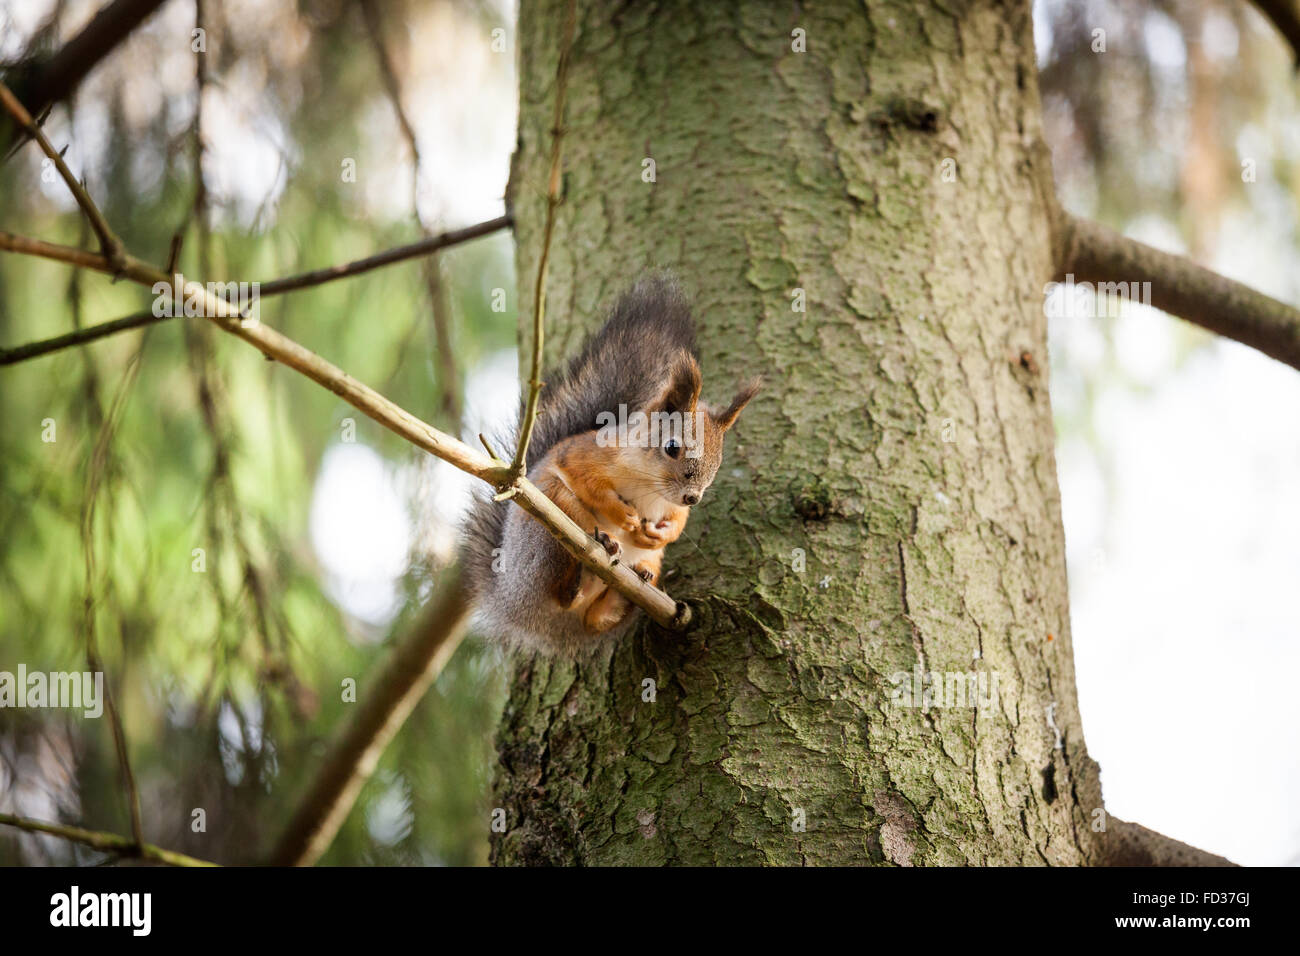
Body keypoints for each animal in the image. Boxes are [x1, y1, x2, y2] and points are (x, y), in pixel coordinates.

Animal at [462, 273, 759, 657]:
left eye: (719, 462)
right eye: (672, 447)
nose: (693, 496)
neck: (651, 487)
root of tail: (514, 606)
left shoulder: (672, 504)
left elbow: (678, 520)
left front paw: (659, 532)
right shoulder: (585, 456)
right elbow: (589, 483)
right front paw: (624, 517)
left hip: (631, 575)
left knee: (595, 618)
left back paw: (629, 591)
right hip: (546, 535)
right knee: (563, 588)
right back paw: (585, 569)